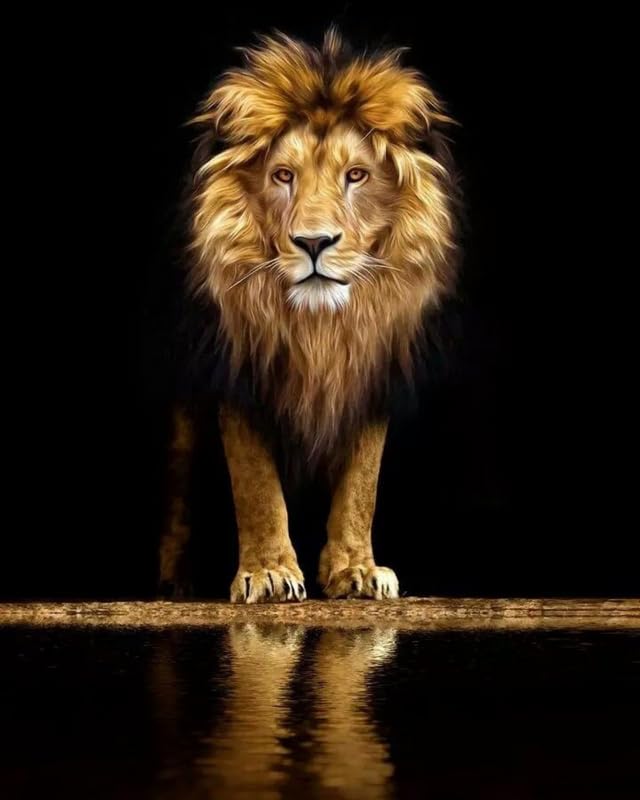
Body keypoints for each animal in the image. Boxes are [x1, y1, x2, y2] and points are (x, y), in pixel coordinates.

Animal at [158, 28, 460, 602]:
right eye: (283, 176)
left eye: (356, 176)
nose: (315, 242)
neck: (318, 327)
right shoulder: (239, 373)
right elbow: (255, 484)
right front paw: (268, 572)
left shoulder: (370, 371)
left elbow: (362, 484)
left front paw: (357, 570)